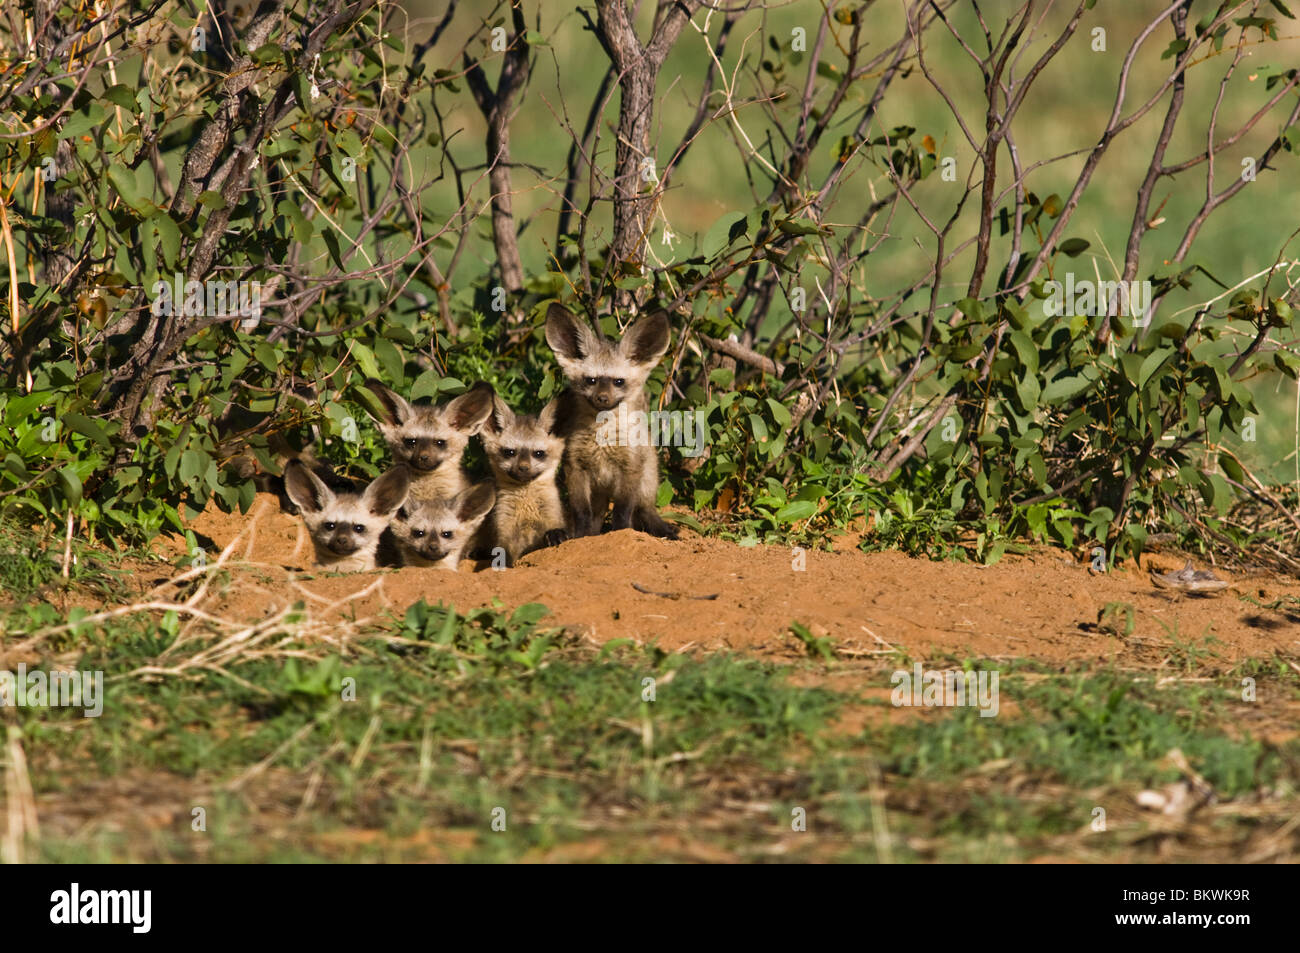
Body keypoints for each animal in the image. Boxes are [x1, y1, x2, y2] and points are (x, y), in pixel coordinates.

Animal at [480, 392, 568, 566]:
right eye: (510, 452)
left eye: (538, 453)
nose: (523, 468)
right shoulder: (504, 529)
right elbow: (502, 553)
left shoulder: (552, 517)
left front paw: (556, 535)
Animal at [544, 303, 679, 539]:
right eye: (591, 380)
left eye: (618, 382)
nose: (602, 399)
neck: (603, 439)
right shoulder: (575, 466)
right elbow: (581, 512)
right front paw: (580, 537)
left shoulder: (630, 467)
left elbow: (622, 512)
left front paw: (620, 533)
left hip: (644, 486)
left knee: (645, 512)